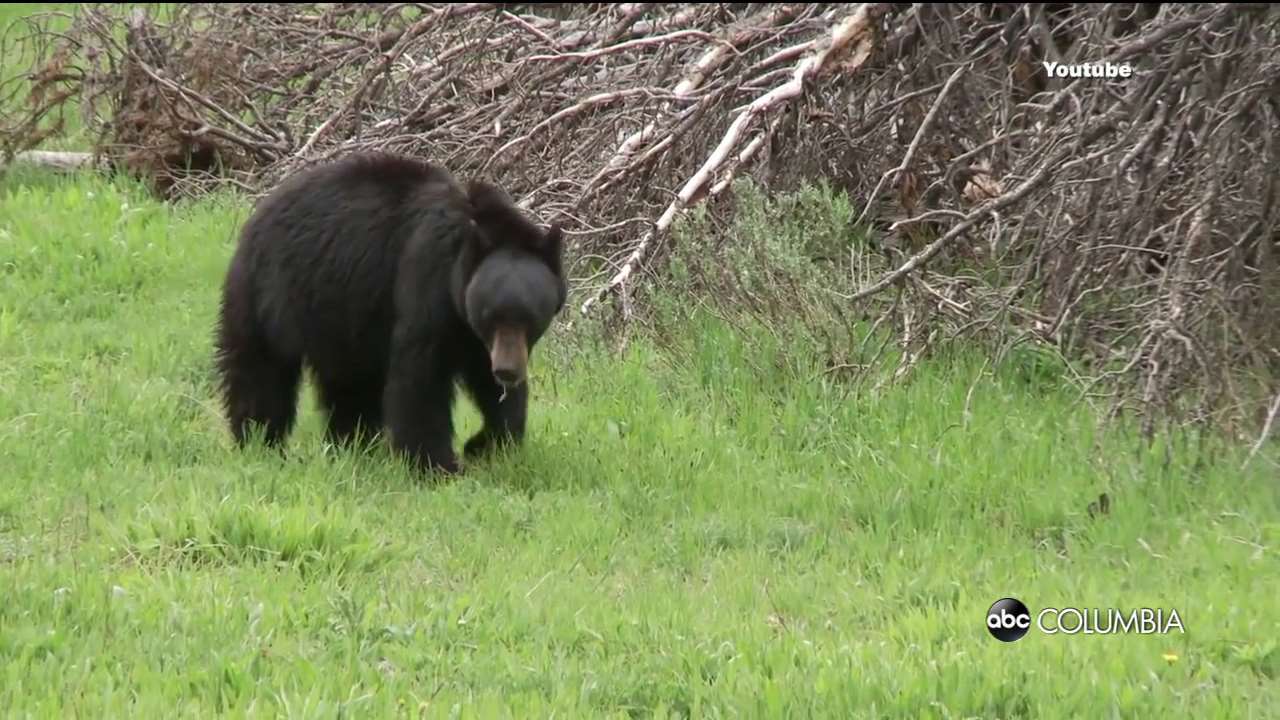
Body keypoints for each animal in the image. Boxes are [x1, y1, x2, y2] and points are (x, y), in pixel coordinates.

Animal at [212, 152, 566, 476]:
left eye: (530, 317)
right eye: (491, 315)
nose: (507, 370)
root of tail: (259, 212)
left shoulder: (474, 335)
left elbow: (489, 385)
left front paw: (485, 444)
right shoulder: (427, 280)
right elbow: (421, 375)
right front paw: (437, 465)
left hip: (342, 316)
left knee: (351, 384)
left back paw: (352, 443)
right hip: (270, 294)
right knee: (260, 371)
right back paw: (260, 440)